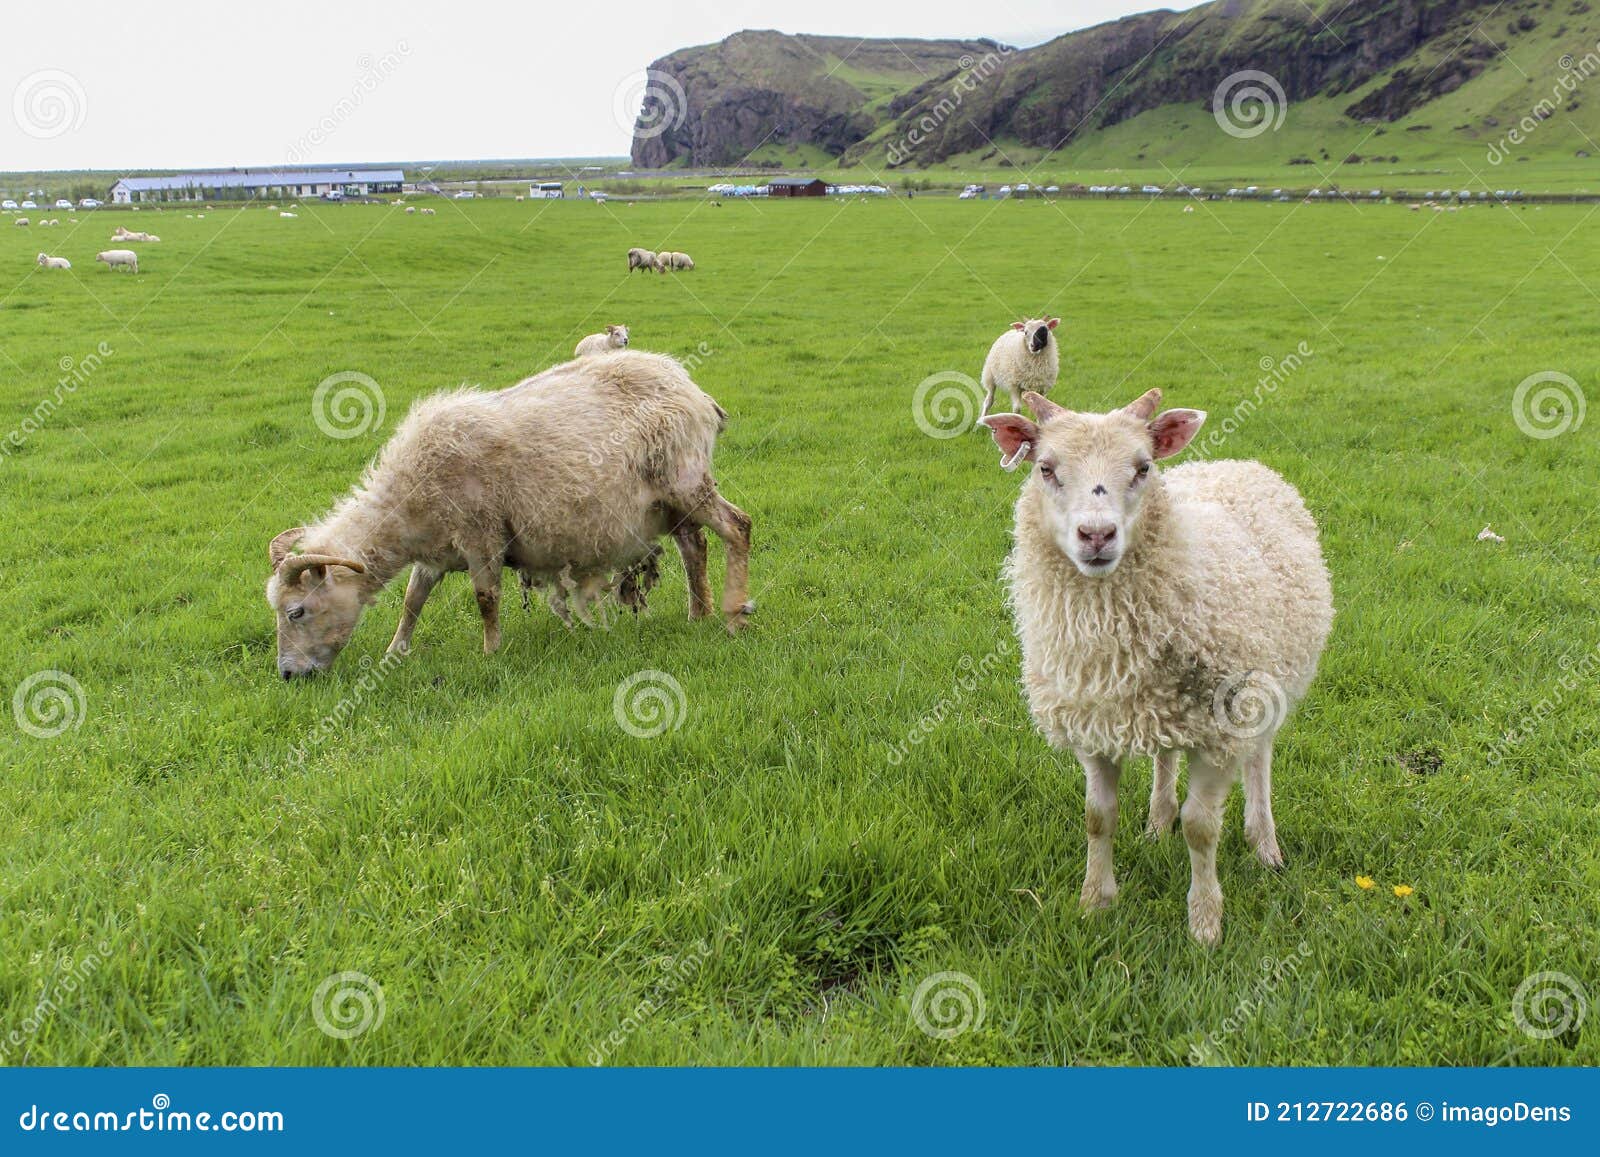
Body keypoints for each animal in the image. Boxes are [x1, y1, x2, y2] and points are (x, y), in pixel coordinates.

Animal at [264, 350, 754, 678]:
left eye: (296, 612)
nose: (287, 675)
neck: (409, 499)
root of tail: (693, 390)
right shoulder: (434, 552)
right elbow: (412, 601)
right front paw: (394, 652)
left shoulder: (481, 533)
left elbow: (486, 598)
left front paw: (490, 652)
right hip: (668, 502)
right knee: (695, 548)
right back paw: (698, 615)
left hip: (685, 481)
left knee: (737, 528)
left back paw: (733, 615)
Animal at [978, 388, 1332, 945]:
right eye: (1045, 469)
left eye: (1143, 467)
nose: (1096, 534)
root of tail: (1237, 463)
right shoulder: (1095, 723)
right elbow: (1097, 818)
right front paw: (1095, 903)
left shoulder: (1220, 729)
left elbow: (1202, 828)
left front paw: (1205, 924)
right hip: (1160, 706)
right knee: (1166, 757)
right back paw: (1156, 822)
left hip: (1264, 685)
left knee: (1259, 758)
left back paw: (1264, 845)